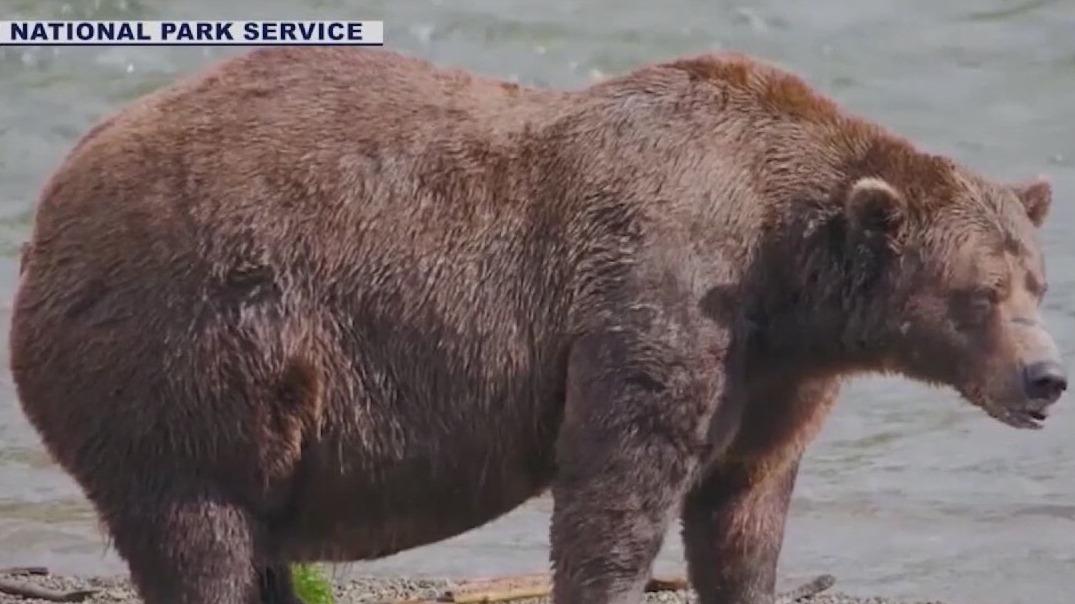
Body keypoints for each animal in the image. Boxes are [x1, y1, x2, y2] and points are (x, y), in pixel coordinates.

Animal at [8, 46, 1067, 604]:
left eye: (1035, 281)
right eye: (979, 294)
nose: (1045, 378)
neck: (785, 266)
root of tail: (51, 204)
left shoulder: (774, 372)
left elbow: (743, 502)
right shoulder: (656, 291)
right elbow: (618, 481)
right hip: (186, 340)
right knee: (198, 527)